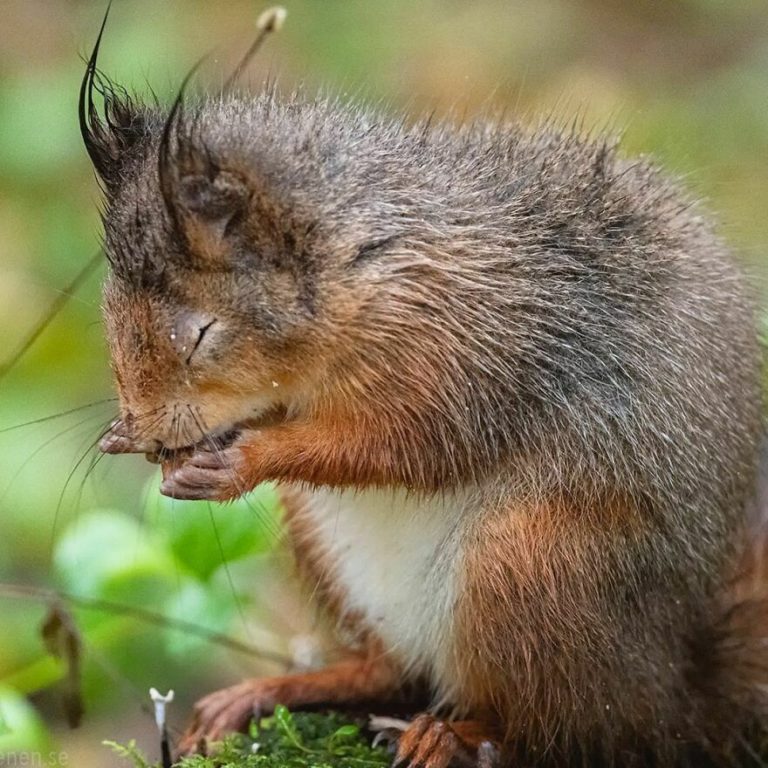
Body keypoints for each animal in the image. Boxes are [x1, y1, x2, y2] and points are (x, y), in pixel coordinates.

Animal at [81, 8, 768, 768]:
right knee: (394, 672)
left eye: (203, 332)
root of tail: (675, 689)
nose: (146, 431)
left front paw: (242, 460)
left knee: (571, 729)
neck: (358, 262)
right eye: (107, 311)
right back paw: (277, 691)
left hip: (532, 565)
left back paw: (461, 735)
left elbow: (409, 444)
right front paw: (130, 437)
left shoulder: (459, 350)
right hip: (328, 546)